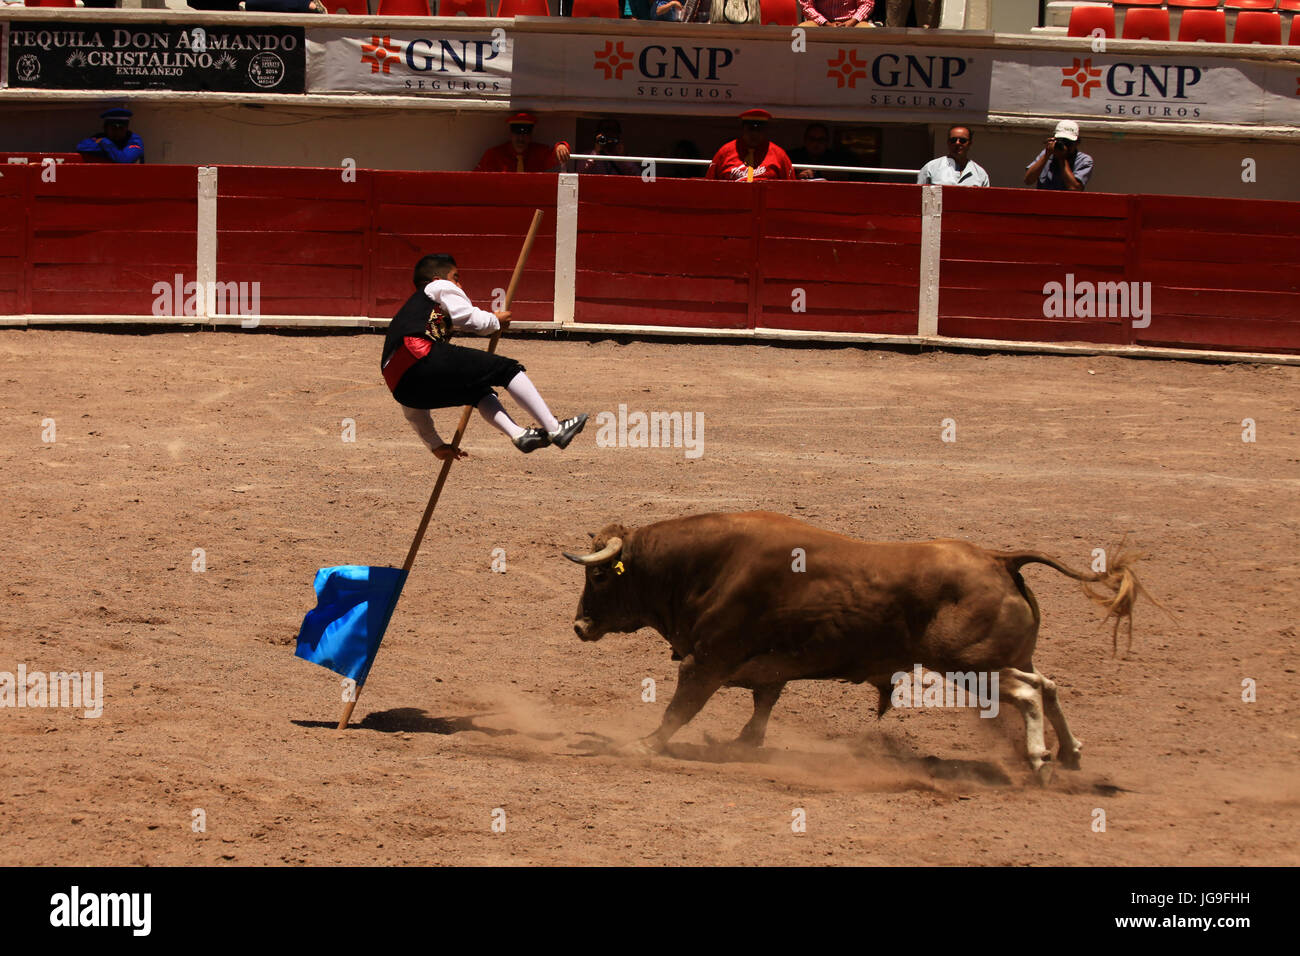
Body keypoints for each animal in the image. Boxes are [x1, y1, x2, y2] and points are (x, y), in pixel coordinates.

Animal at [563, 511, 1151, 783]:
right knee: (1048, 685)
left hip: (971, 666)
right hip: (1006, 658)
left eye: (599, 577)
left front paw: (643, 745)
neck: (706, 565)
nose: (579, 626)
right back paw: (1070, 754)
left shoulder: (706, 661)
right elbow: (763, 704)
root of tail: (997, 559)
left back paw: (1039, 760)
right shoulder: (768, 667)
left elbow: (679, 708)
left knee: (1030, 692)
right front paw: (743, 745)